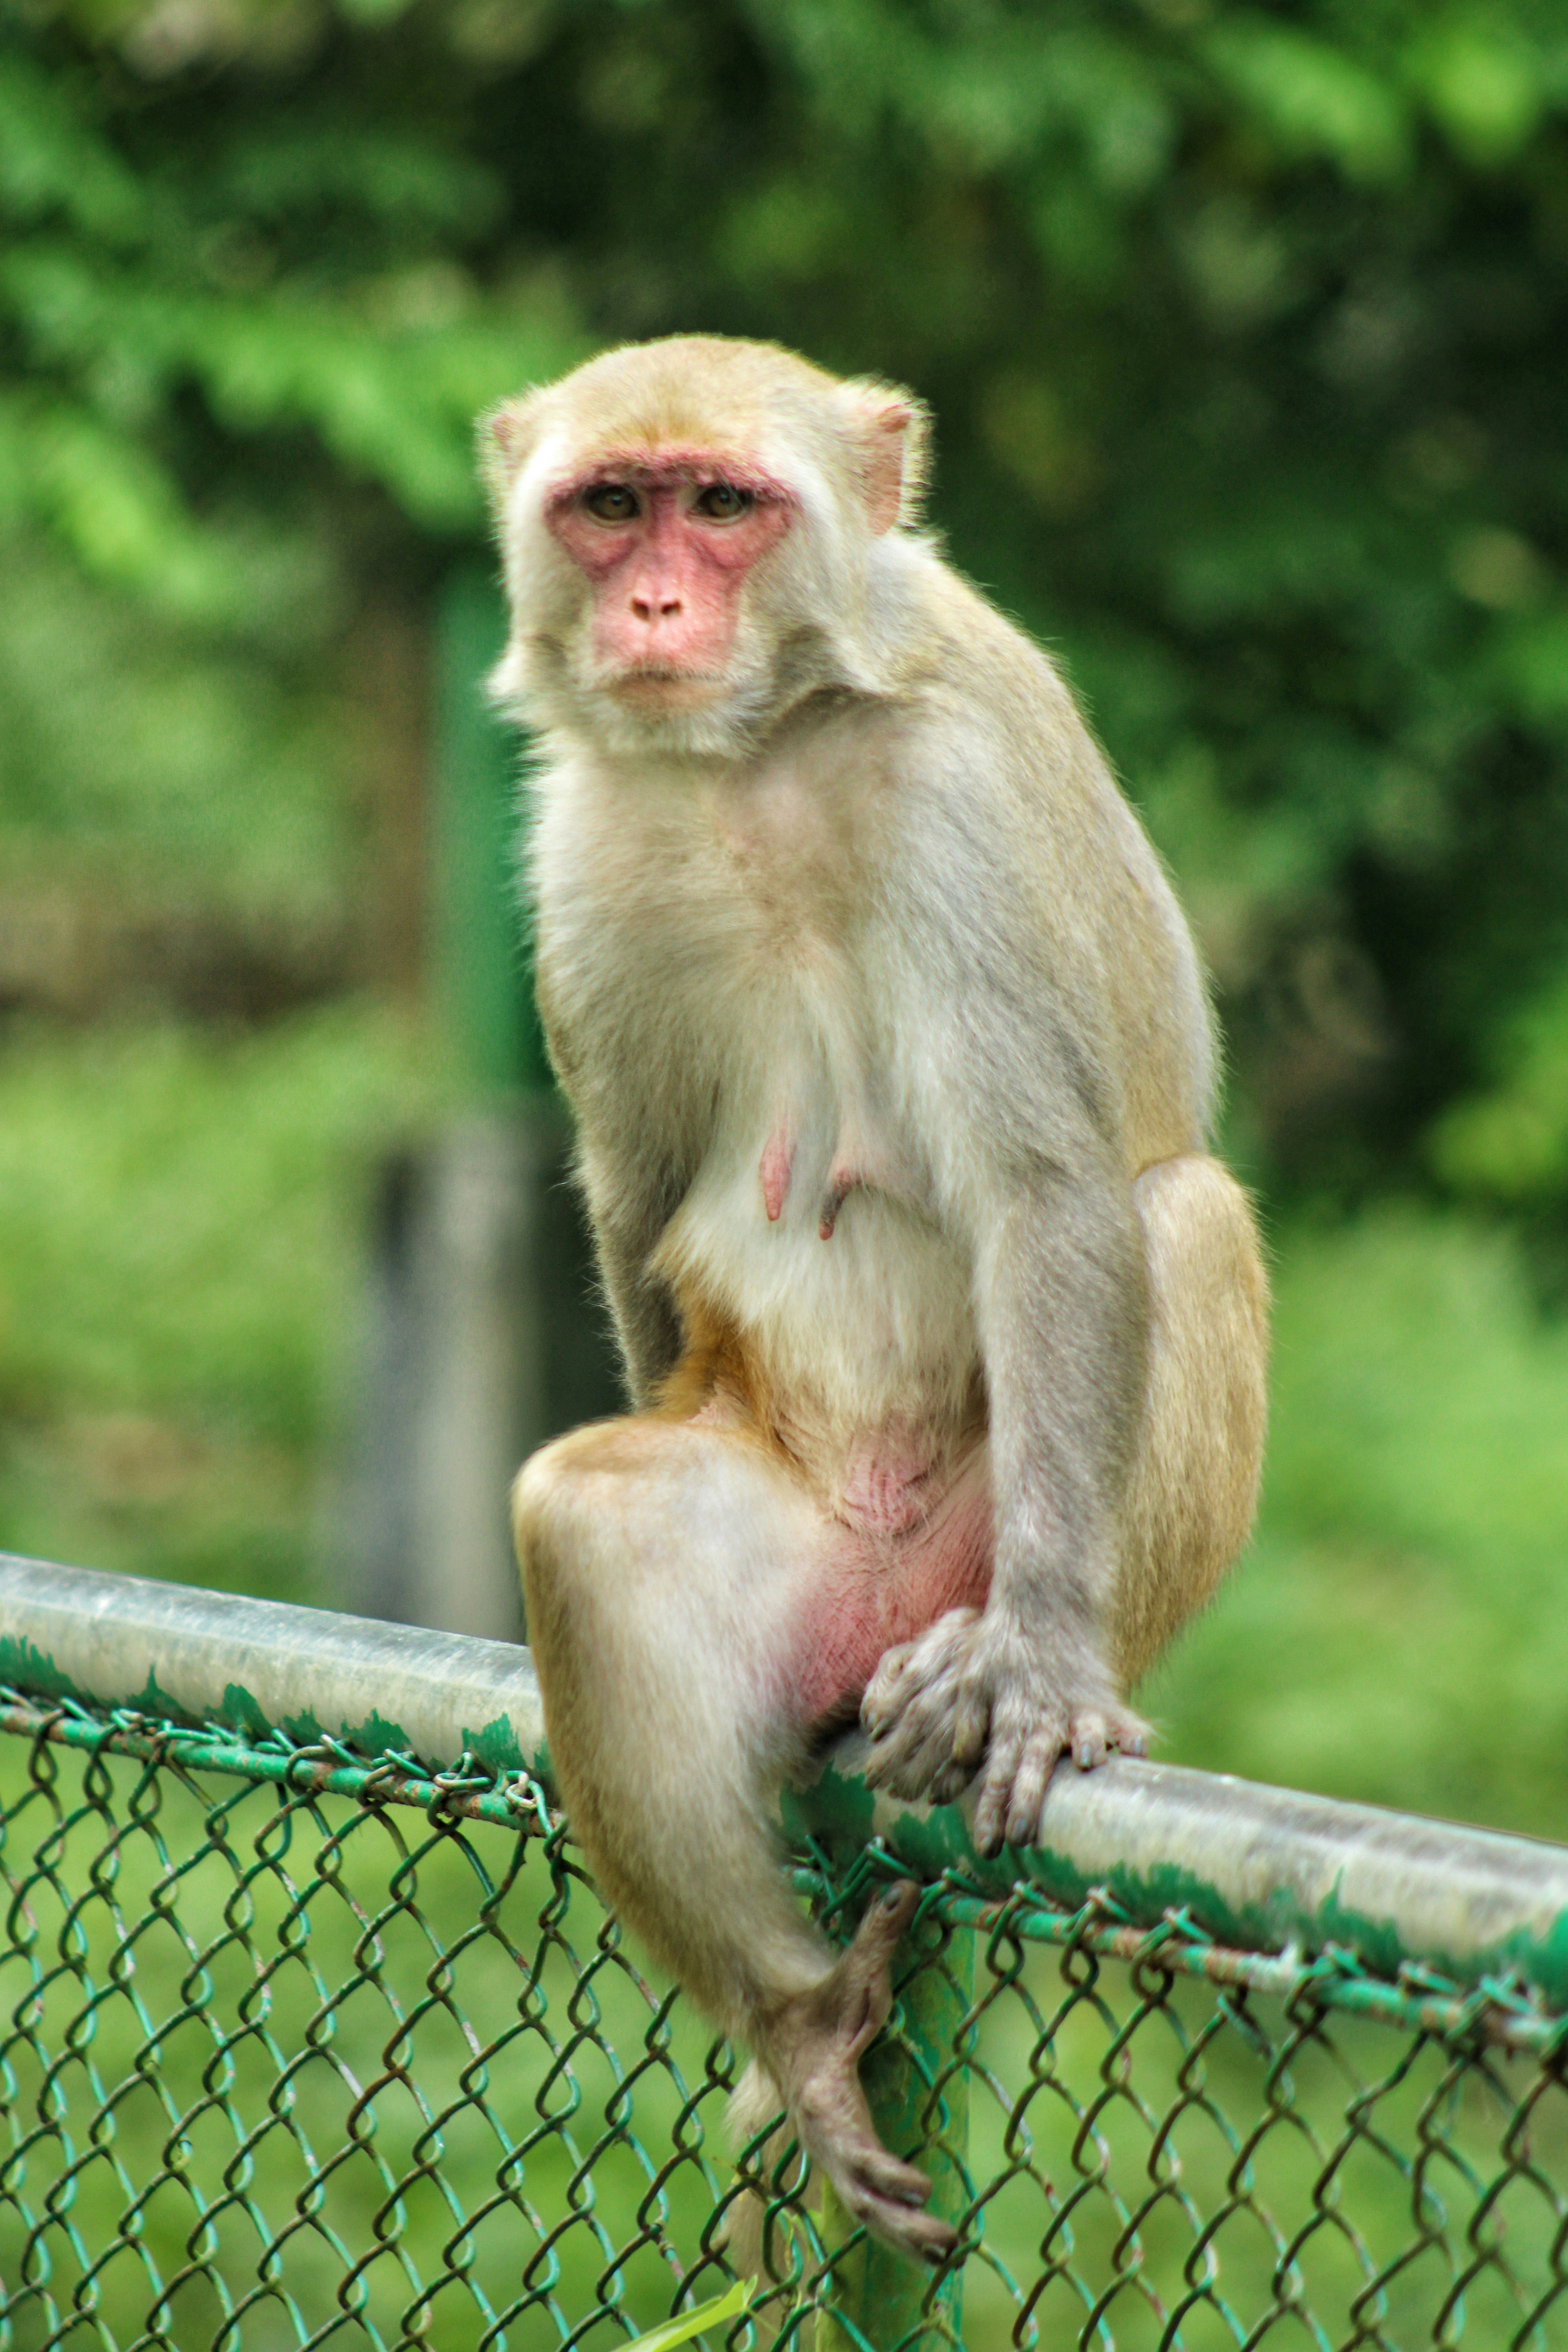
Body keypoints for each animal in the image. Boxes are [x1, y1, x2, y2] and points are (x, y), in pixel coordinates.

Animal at [480, 336, 1268, 2265]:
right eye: (609, 505)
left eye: (722, 502)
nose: (658, 603)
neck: (755, 752)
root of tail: (881, 1598)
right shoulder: (579, 835)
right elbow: (631, 1203)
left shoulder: (956, 794)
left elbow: (1051, 1189)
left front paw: (1042, 1665)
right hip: (804, 1559)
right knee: (587, 1519)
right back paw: (805, 2024)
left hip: (983, 1551)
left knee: (1181, 1221)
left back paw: (989, 1669)